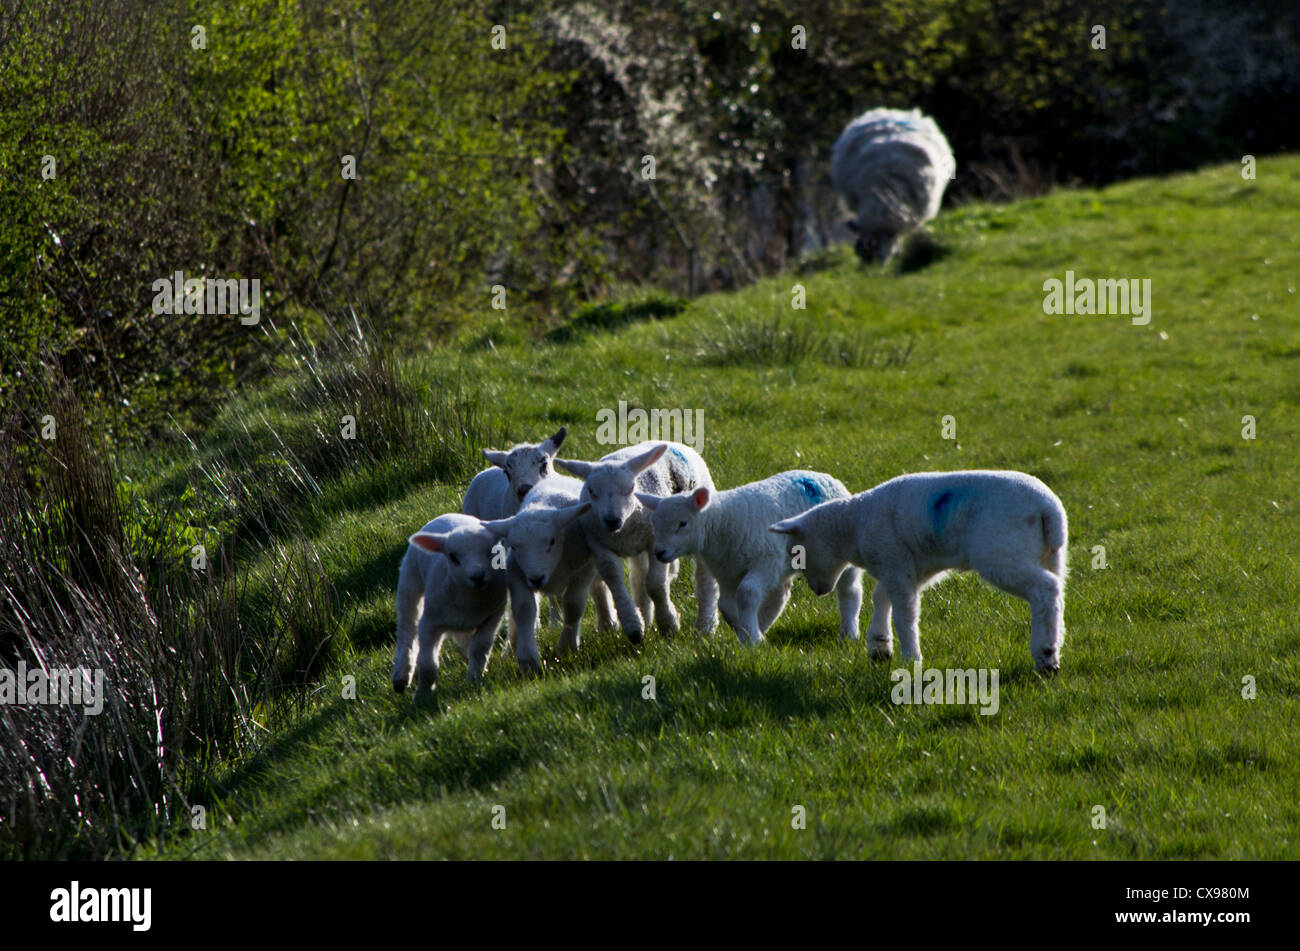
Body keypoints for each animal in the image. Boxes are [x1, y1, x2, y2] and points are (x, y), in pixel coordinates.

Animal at [391, 513, 508, 698]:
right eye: (453, 557)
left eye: (491, 551)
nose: (477, 576)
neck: (469, 599)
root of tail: (447, 515)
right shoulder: (429, 623)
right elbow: (428, 664)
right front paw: (423, 695)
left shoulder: (494, 614)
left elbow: (479, 647)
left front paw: (475, 678)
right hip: (409, 582)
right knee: (407, 629)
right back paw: (401, 677)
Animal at [482, 475, 601, 672]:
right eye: (515, 546)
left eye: (552, 541)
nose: (536, 579)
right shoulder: (517, 574)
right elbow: (523, 609)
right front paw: (528, 661)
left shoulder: (583, 570)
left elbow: (574, 605)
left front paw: (567, 647)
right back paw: (510, 651)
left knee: (600, 589)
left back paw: (608, 624)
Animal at [556, 441, 718, 644]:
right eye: (591, 491)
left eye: (631, 488)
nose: (612, 520)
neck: (623, 531)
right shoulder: (599, 545)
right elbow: (614, 578)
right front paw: (634, 627)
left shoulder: (656, 543)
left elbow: (655, 584)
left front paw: (668, 624)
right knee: (639, 576)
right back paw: (645, 616)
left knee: (705, 579)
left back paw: (705, 626)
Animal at [637, 470, 863, 646]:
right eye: (654, 523)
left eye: (682, 523)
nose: (659, 552)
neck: (722, 522)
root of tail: (827, 477)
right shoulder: (727, 572)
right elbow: (725, 605)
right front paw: (748, 634)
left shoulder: (765, 562)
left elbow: (746, 594)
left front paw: (751, 639)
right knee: (781, 593)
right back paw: (763, 625)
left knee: (850, 591)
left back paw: (849, 633)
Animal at [769, 470, 1068, 672]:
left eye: (797, 554)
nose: (818, 591)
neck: (853, 525)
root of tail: (1048, 509)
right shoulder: (905, 567)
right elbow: (881, 598)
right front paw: (879, 646)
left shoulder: (895, 565)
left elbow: (904, 614)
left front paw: (911, 658)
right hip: (1049, 555)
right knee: (1055, 595)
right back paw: (1052, 651)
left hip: (1002, 552)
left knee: (1045, 589)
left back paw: (1045, 654)